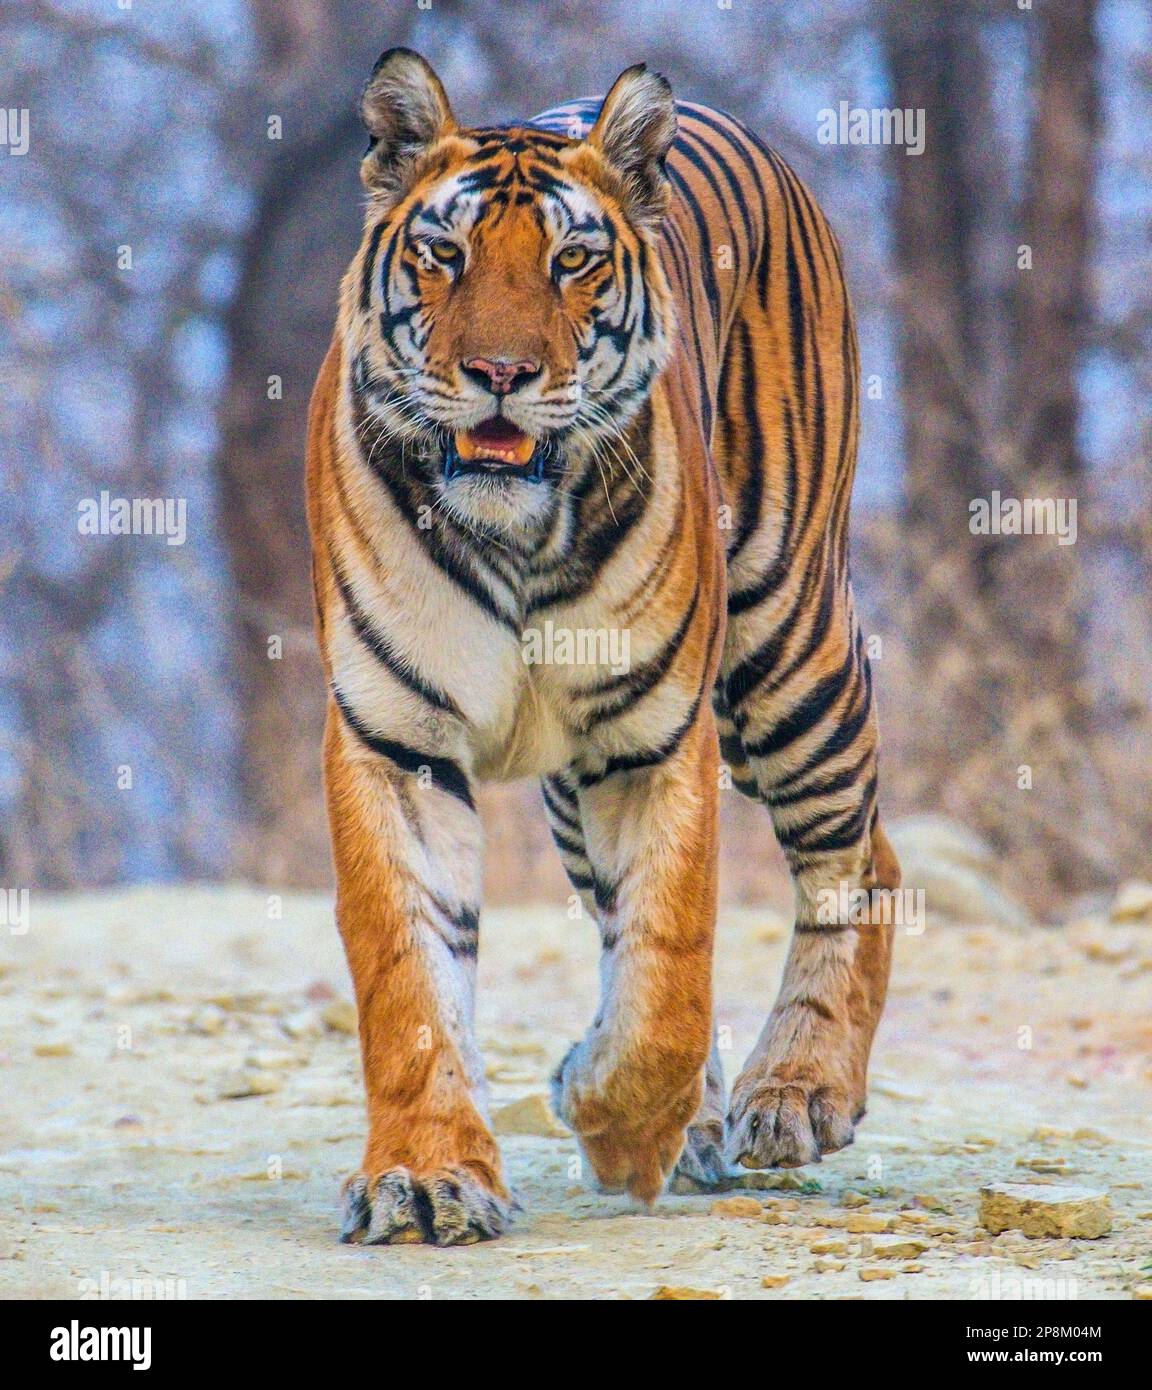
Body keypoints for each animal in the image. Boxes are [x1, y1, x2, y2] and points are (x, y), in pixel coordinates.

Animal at [305, 48, 901, 1246]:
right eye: (445, 254)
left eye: (572, 262)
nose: (500, 372)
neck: (513, 534)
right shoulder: (396, 742)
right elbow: (409, 978)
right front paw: (425, 1179)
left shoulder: (653, 740)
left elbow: (667, 968)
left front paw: (615, 1119)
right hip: (582, 784)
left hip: (789, 644)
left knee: (859, 857)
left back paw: (797, 1092)